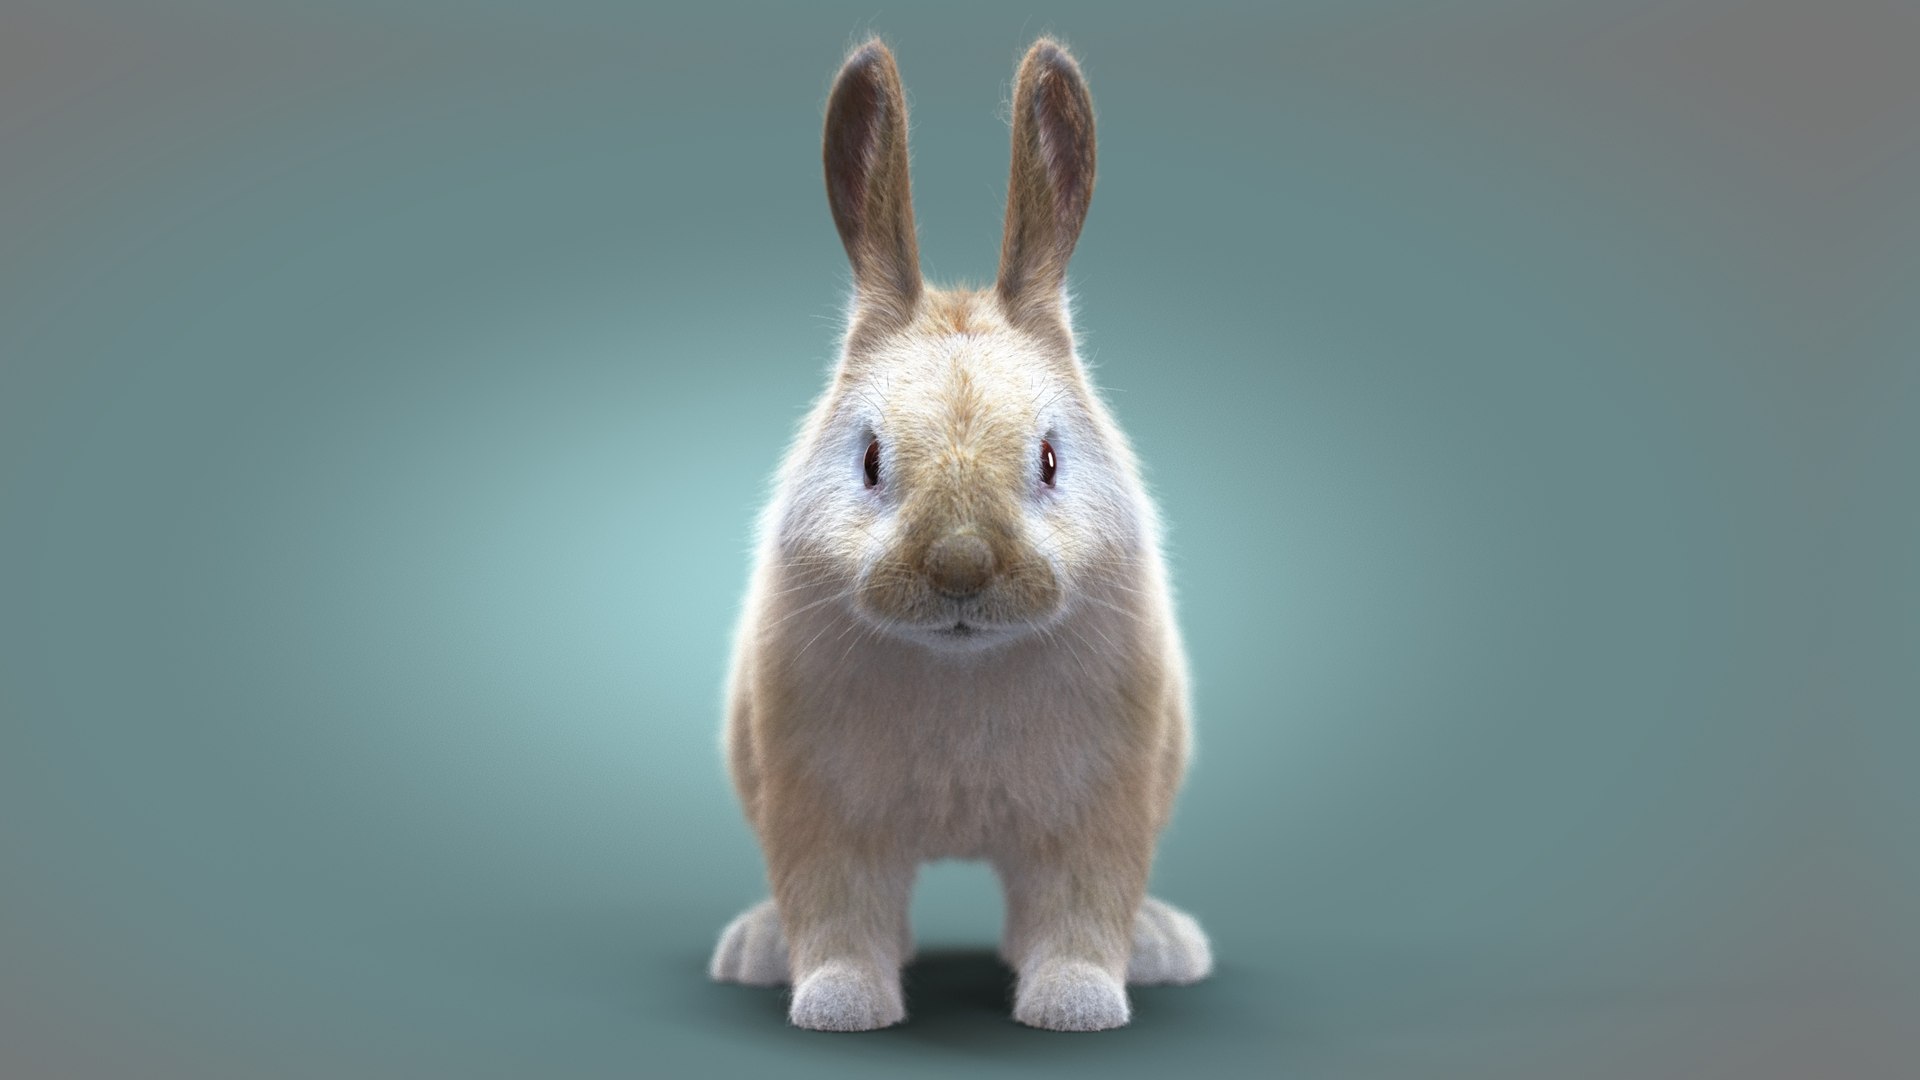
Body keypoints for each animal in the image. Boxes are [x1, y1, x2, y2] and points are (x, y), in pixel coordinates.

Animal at [708, 37, 1211, 1032]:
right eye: (869, 458)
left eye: (1051, 457)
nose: (961, 566)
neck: (960, 663)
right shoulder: (818, 809)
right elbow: (834, 910)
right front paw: (840, 1003)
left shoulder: (1101, 807)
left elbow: (1084, 908)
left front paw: (1076, 1002)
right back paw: (756, 949)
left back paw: (1163, 947)